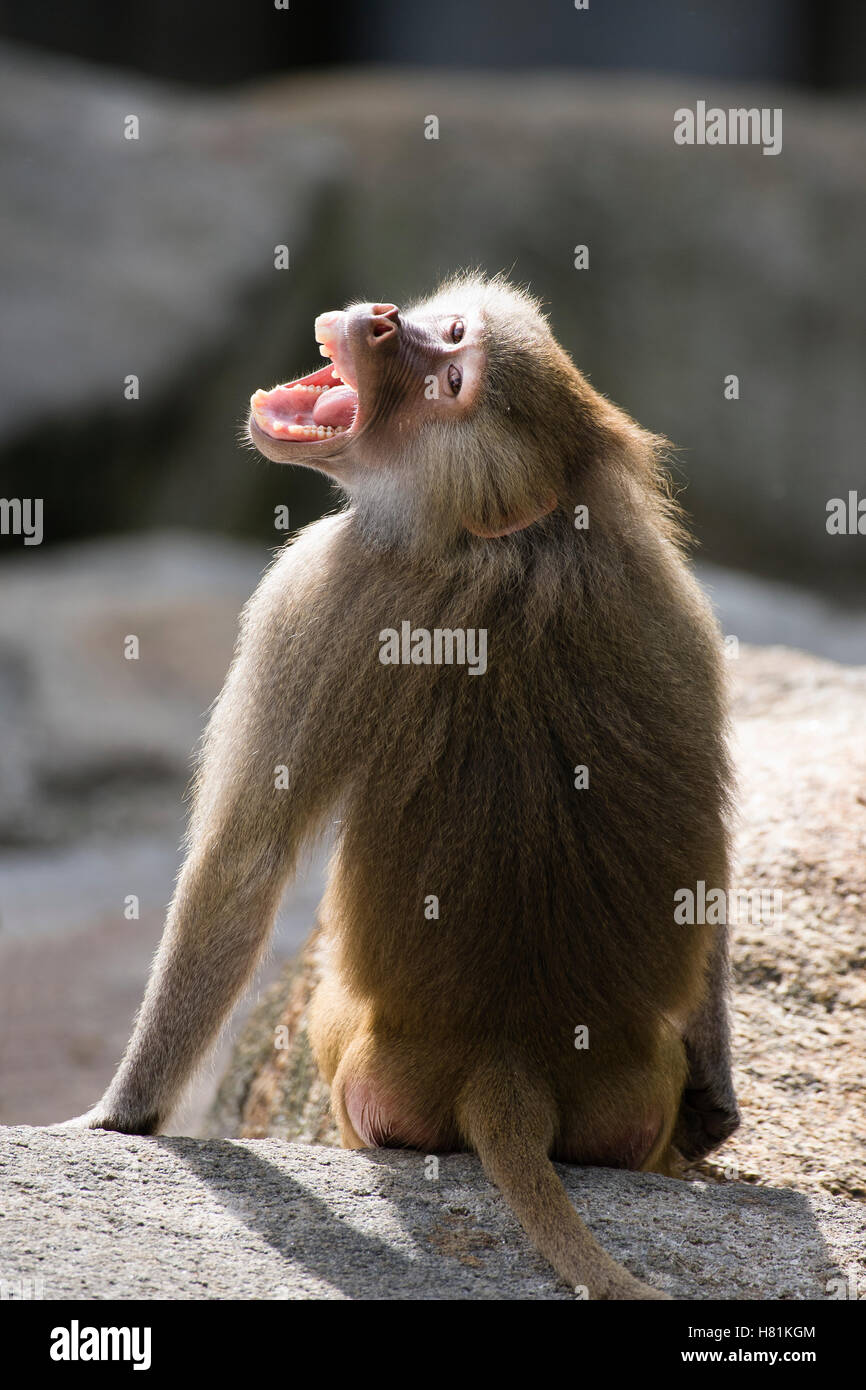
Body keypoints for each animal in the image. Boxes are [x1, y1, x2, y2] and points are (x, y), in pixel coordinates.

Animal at [59, 273, 739, 1299]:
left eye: (449, 381)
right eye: (451, 332)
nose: (382, 322)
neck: (522, 539)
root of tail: (511, 1059)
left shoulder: (315, 582)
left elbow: (239, 869)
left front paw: (114, 1119)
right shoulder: (679, 602)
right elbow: (713, 882)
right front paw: (720, 1096)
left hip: (354, 1058)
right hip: (632, 1094)